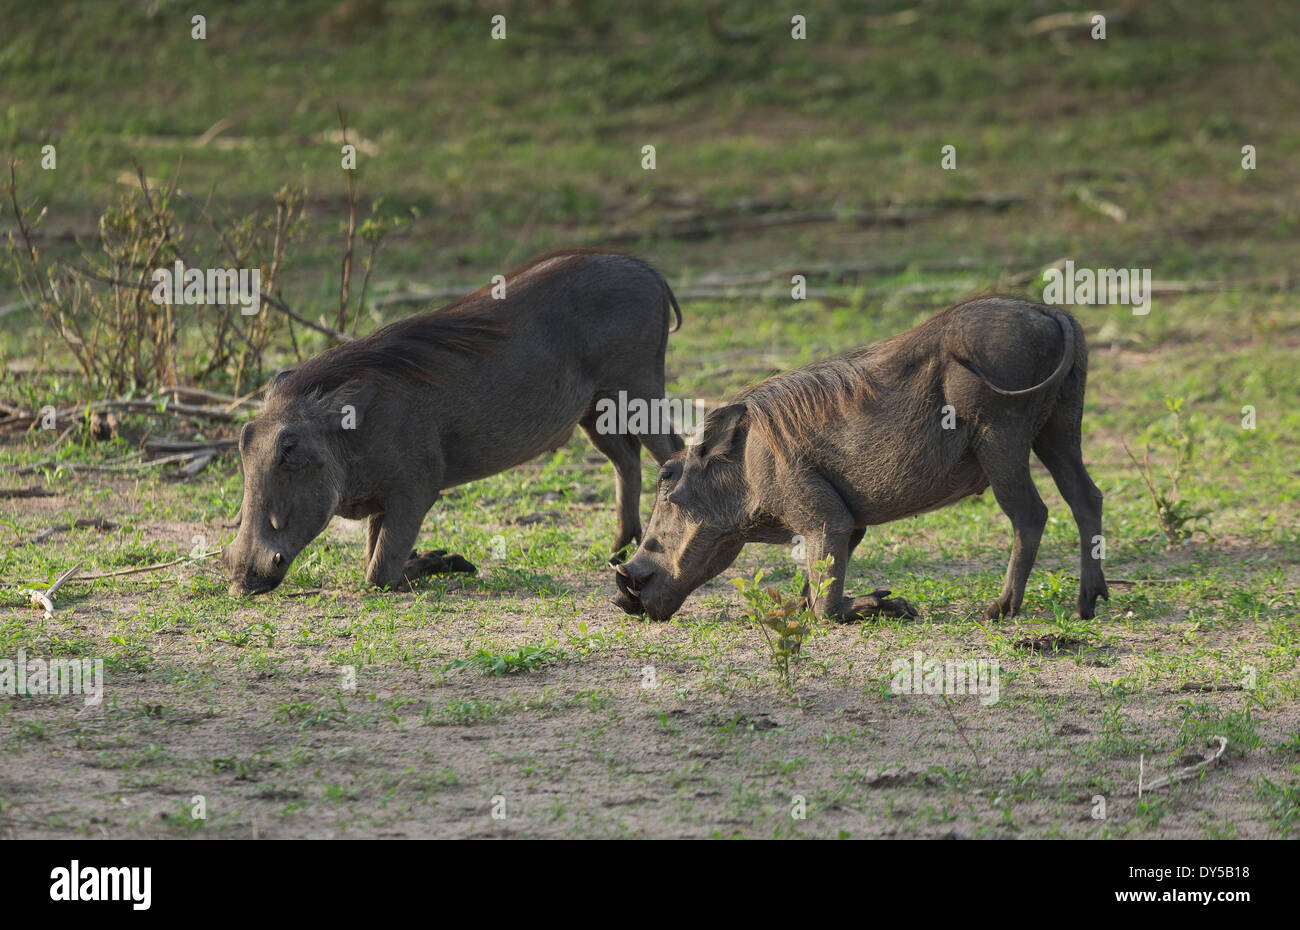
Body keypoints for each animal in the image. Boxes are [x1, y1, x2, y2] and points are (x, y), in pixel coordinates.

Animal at [225, 249, 684, 595]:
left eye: (289, 450)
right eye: (243, 441)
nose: (240, 582)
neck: (351, 432)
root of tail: (650, 271)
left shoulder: (415, 489)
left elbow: (379, 572)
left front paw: (444, 563)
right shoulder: (381, 497)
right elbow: (376, 550)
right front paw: (431, 560)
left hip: (638, 389)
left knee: (670, 453)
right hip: (596, 410)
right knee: (627, 462)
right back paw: (619, 551)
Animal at [613, 296, 1108, 623]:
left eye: (668, 478)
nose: (625, 602)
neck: (745, 465)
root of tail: (1049, 311)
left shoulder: (824, 517)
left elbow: (826, 606)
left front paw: (889, 605)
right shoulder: (846, 521)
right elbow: (817, 582)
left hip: (1001, 437)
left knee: (1031, 514)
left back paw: (1000, 609)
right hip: (1059, 428)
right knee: (1087, 498)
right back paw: (1088, 603)